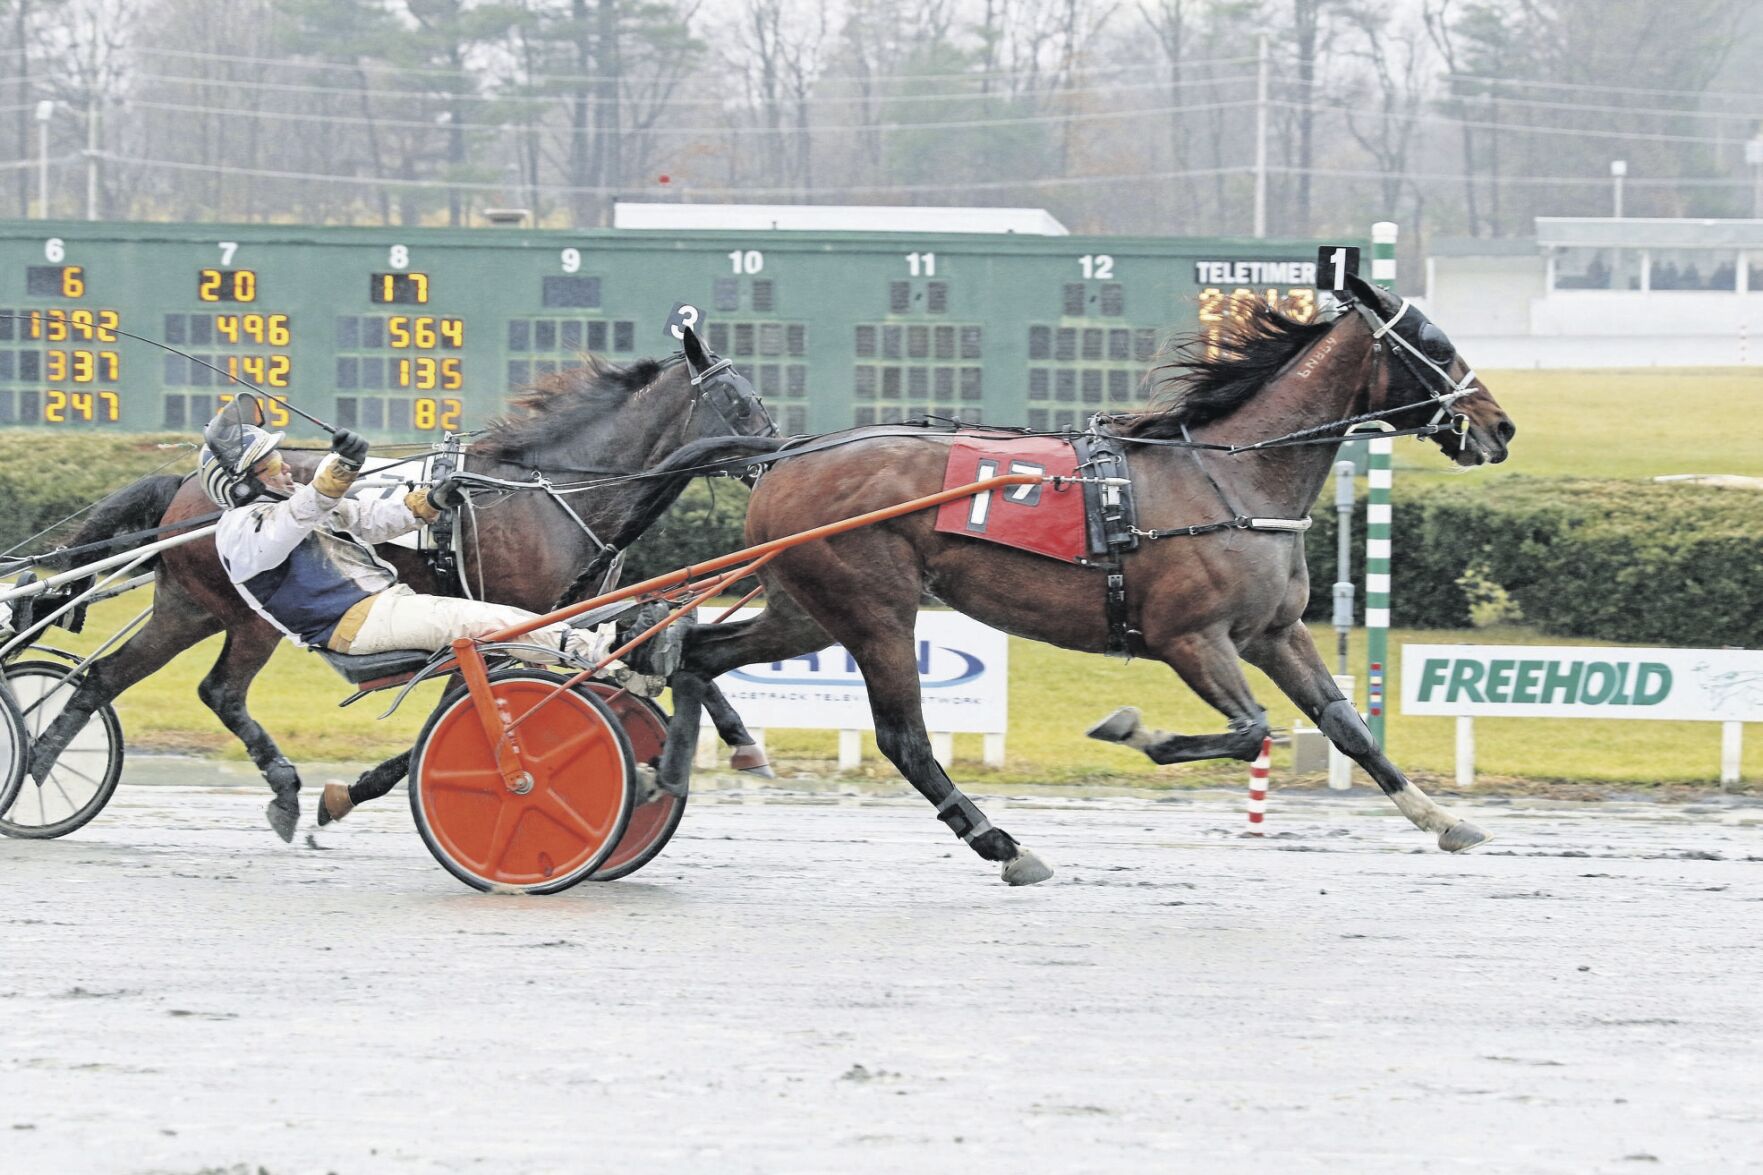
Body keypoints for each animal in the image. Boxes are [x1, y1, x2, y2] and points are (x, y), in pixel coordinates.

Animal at [23, 327, 778, 836]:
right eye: (740, 399)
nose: (777, 453)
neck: (551, 491)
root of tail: (186, 486)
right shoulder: (495, 620)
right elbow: (458, 720)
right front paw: (358, 790)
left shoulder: (573, 608)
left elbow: (660, 652)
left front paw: (737, 736)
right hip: (239, 613)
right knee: (212, 689)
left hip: (189, 608)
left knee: (112, 678)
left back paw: (40, 761)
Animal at [657, 273, 1517, 885]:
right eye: (1436, 345)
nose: (1500, 425)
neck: (1230, 479)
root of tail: (786, 455)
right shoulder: (1189, 637)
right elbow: (1249, 729)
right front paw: (1134, 729)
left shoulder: (1272, 631)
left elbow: (1346, 725)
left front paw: (1444, 819)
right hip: (874, 608)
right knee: (904, 737)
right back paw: (1004, 845)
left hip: (806, 606)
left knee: (695, 653)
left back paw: (674, 768)